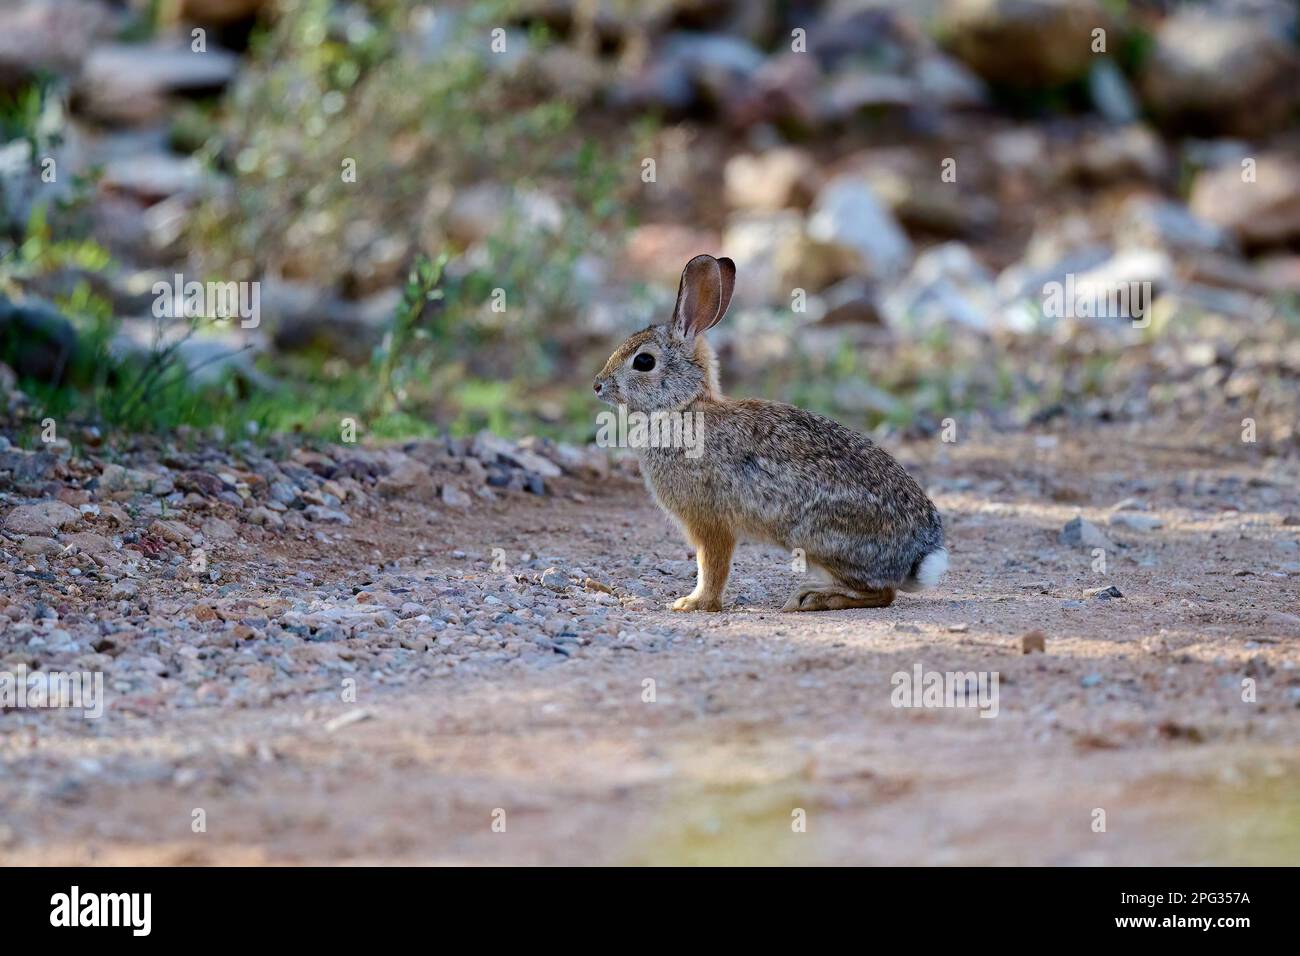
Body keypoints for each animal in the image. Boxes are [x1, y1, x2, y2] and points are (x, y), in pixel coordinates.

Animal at [593, 254, 947, 612]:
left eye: (644, 361)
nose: (598, 385)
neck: (683, 405)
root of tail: (918, 553)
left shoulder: (710, 521)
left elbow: (712, 566)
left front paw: (693, 603)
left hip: (814, 535)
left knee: (882, 593)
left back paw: (812, 597)